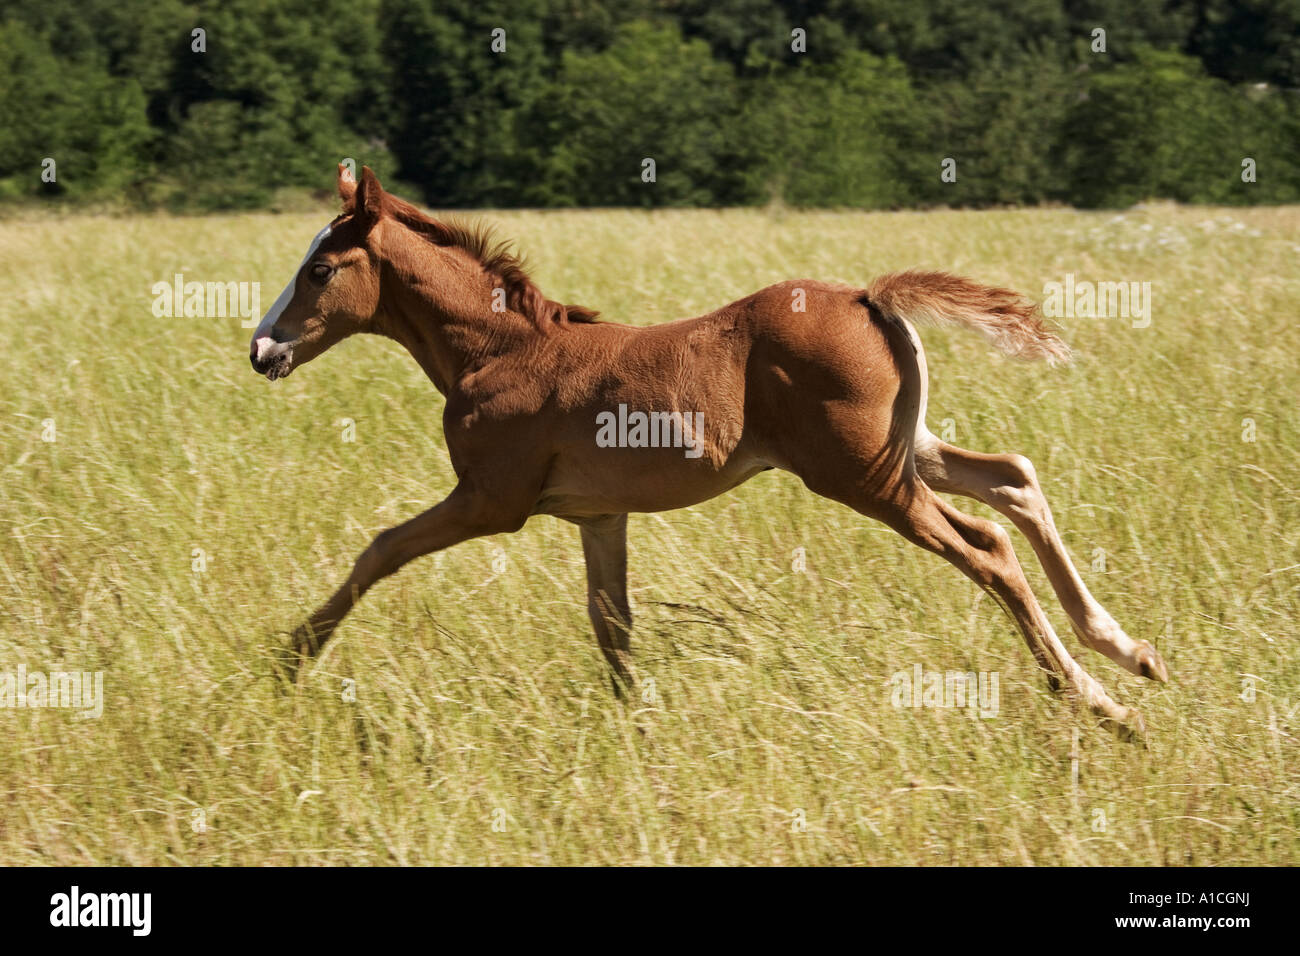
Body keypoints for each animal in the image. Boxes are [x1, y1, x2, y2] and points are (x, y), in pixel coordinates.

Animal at [249, 164, 1168, 740]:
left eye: (322, 270)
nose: (262, 351)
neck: (499, 350)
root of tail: (870, 297)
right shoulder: (598, 514)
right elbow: (612, 622)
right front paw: (638, 731)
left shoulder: (490, 501)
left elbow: (381, 550)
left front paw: (289, 660)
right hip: (905, 450)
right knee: (1014, 479)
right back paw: (1127, 649)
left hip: (863, 477)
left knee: (986, 545)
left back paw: (1102, 704)